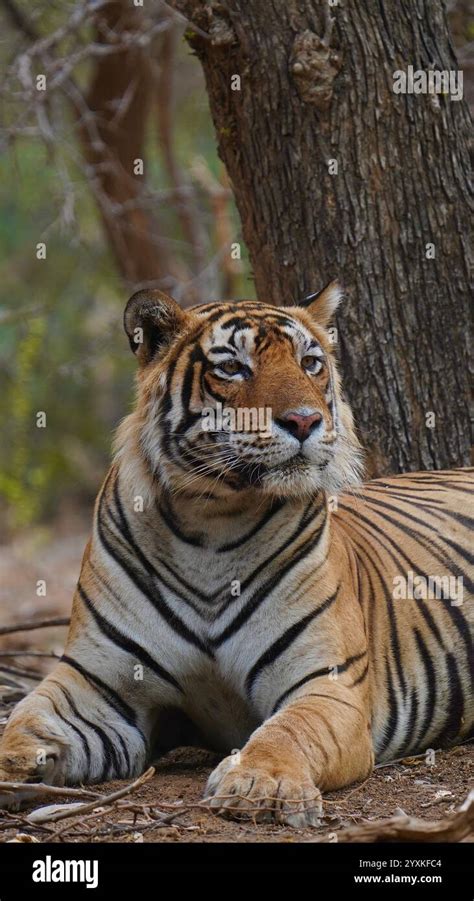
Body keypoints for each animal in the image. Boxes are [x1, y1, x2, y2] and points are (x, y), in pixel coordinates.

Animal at [0, 282, 472, 827]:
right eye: (232, 367)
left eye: (310, 363)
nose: (305, 421)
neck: (211, 523)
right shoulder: (97, 685)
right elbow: (25, 719)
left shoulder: (327, 682)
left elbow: (290, 730)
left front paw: (259, 783)